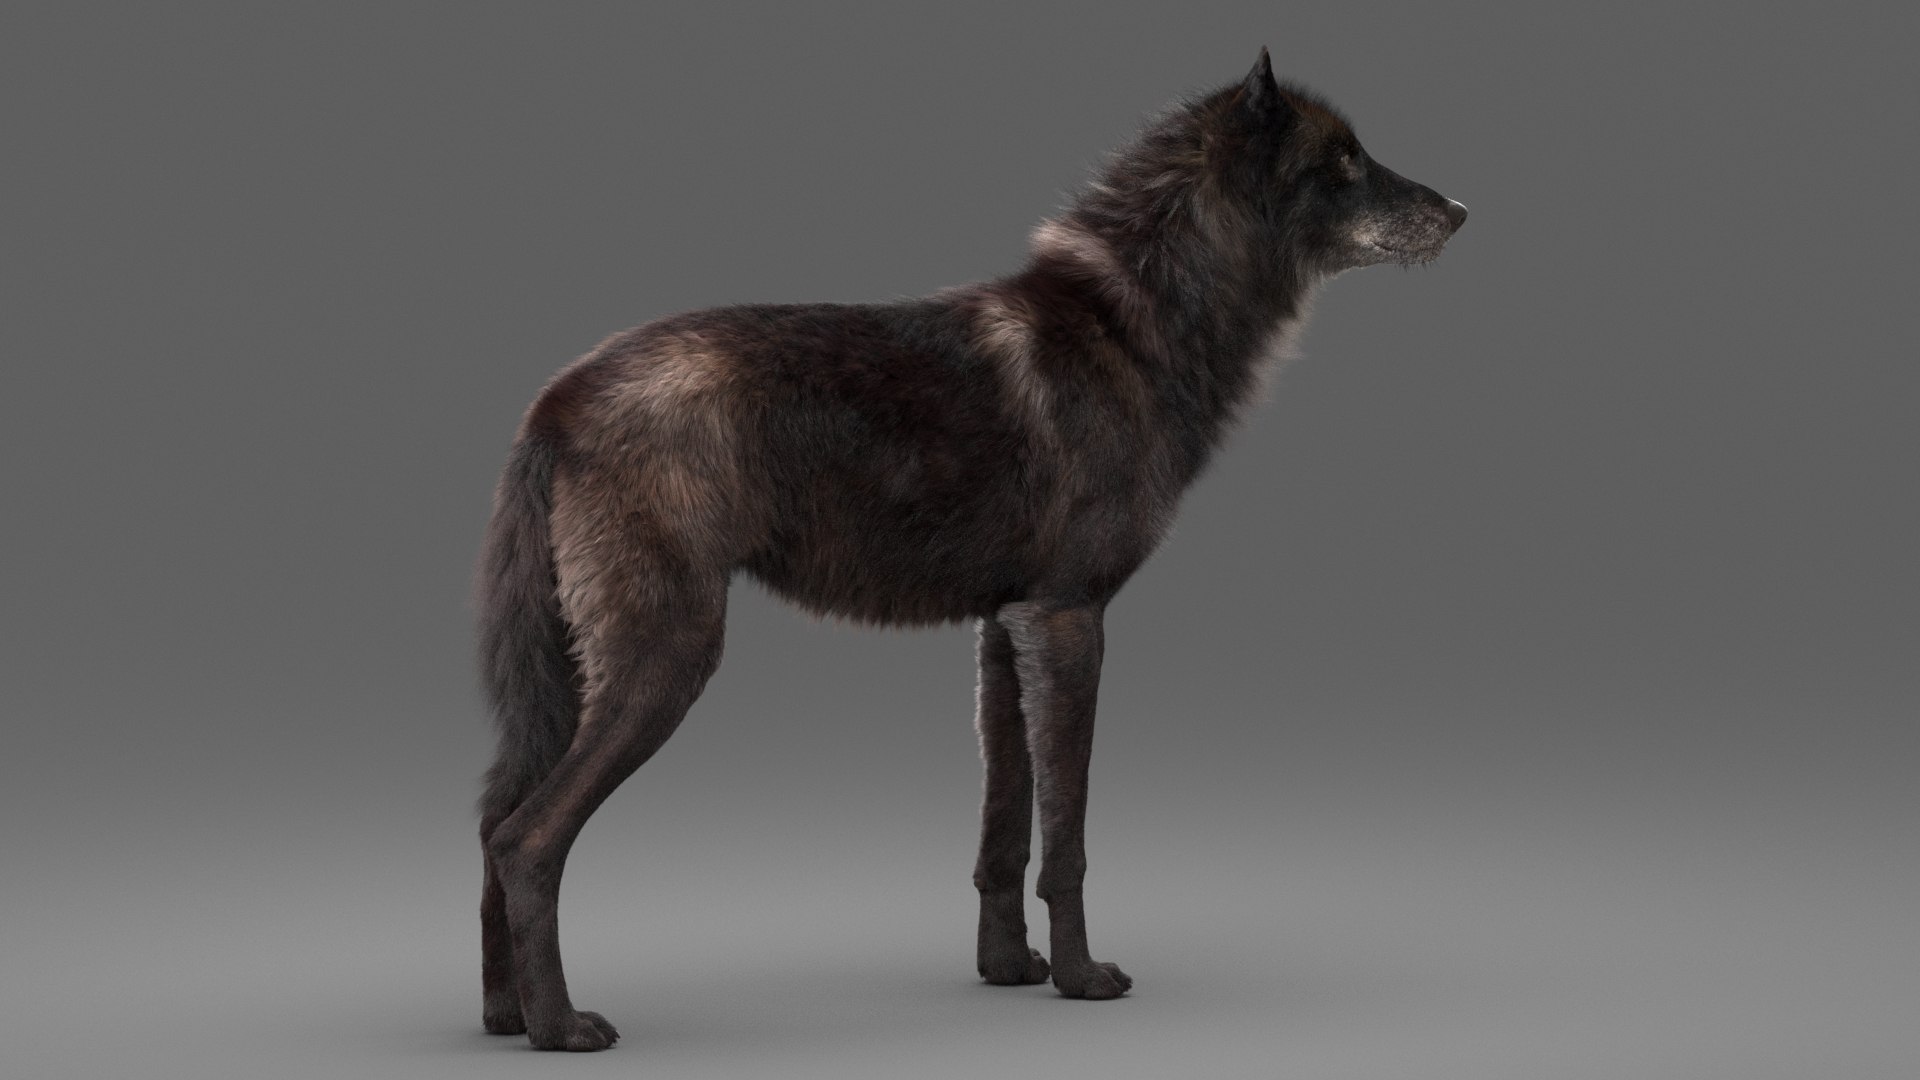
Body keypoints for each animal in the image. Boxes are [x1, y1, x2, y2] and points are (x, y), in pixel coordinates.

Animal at [474, 49, 1466, 1050]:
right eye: (1343, 162)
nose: (1461, 211)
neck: (1131, 328)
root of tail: (557, 398)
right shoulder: (1069, 621)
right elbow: (1066, 839)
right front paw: (1081, 977)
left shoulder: (1003, 632)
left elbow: (1005, 832)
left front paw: (1010, 969)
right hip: (666, 664)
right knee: (527, 839)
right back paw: (560, 1027)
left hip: (570, 684)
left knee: (490, 822)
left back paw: (503, 1018)